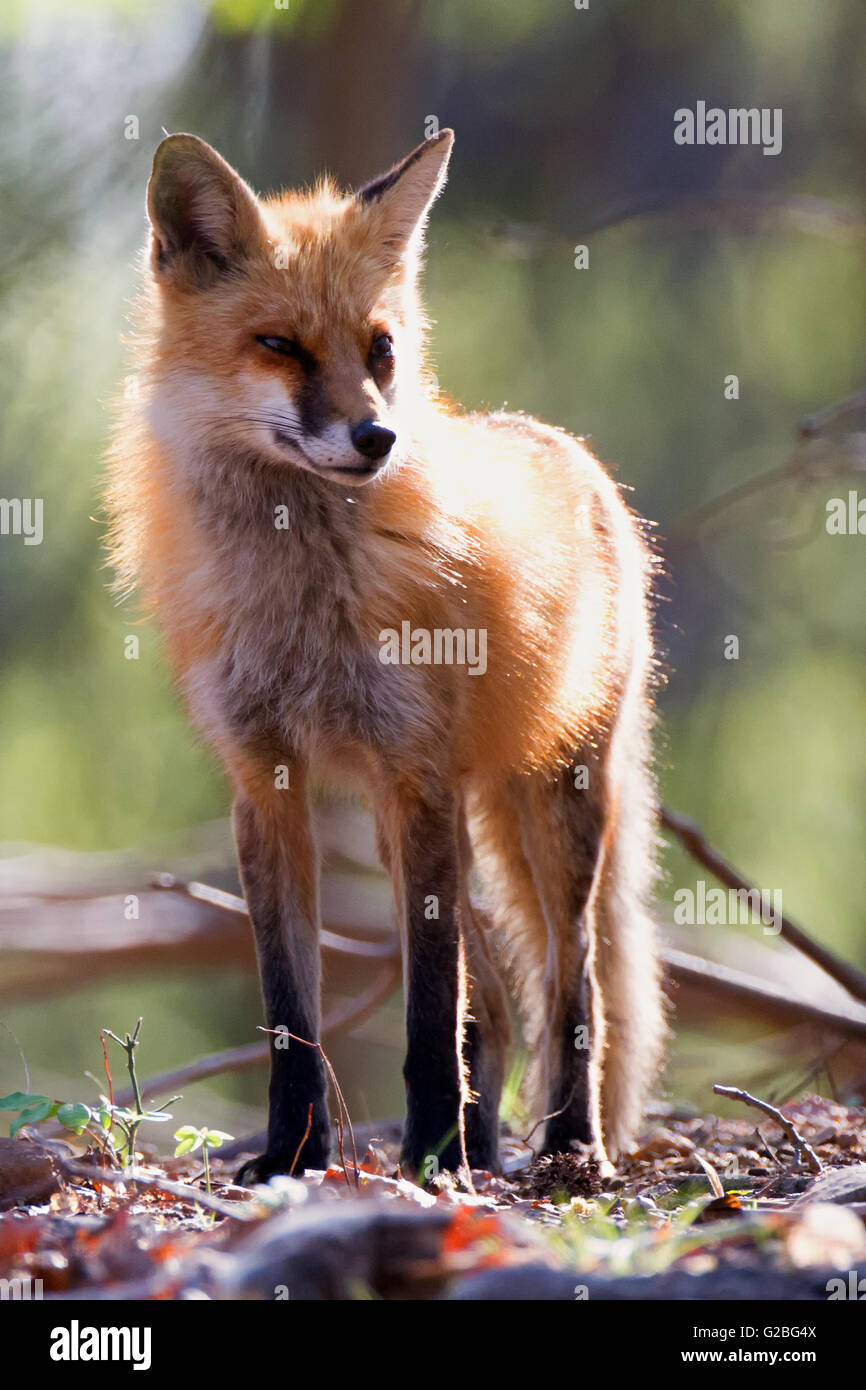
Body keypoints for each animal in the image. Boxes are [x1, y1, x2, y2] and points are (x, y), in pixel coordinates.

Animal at [105, 128, 666, 1183]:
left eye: (382, 349)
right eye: (280, 345)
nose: (378, 437)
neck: (303, 604)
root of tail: (572, 451)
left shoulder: (417, 776)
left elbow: (428, 1016)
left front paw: (432, 1154)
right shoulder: (269, 786)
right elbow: (292, 1018)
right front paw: (294, 1155)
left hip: (555, 805)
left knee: (573, 985)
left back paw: (566, 1144)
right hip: (404, 824)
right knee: (497, 1004)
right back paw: (481, 1145)